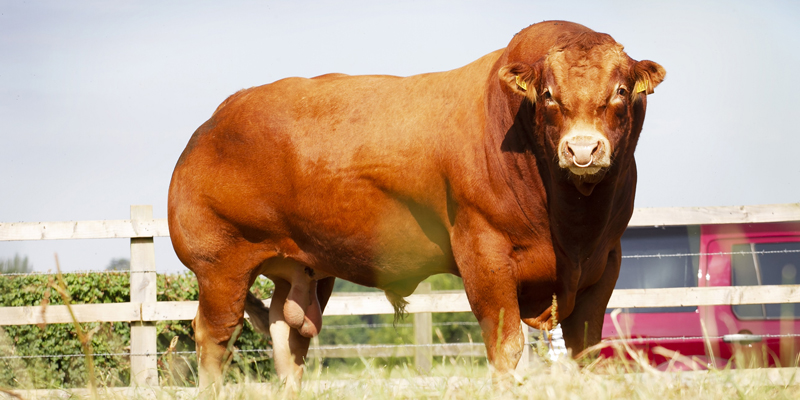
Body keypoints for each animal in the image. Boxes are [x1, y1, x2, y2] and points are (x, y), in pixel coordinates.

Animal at [168, 20, 665, 391]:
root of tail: (212, 123)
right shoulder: (484, 254)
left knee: (287, 340)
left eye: (621, 91)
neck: (571, 223)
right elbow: (505, 349)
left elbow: (587, 353)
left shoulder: (605, 260)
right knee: (214, 337)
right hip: (221, 265)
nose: (582, 150)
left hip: (302, 270)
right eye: (547, 95)